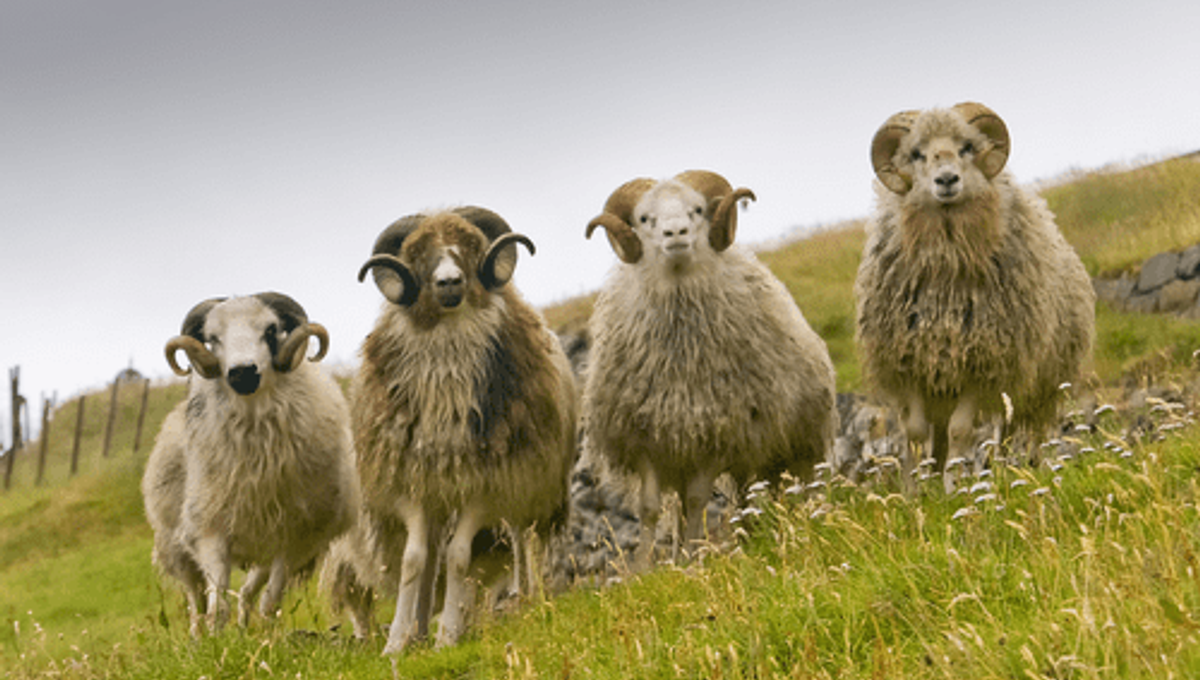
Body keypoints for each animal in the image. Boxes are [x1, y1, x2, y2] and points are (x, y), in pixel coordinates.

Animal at [141, 292, 359, 637]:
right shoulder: (210, 529)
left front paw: (269, 637)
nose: (242, 372)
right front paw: (216, 641)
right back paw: (197, 638)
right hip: (175, 545)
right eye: (212, 338)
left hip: (264, 550)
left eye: (270, 330)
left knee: (247, 593)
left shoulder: (295, 537)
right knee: (195, 601)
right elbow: (217, 604)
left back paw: (245, 631)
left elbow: (270, 601)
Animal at [352, 206, 577, 654]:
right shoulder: (415, 482)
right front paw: (399, 641)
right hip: (442, 491)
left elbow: (459, 556)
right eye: (418, 255)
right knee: (432, 554)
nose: (449, 282)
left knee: (521, 540)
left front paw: (448, 636)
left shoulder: (484, 484)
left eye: (471, 248)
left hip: (525, 484)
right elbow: (415, 558)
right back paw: (421, 626)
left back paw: (526, 599)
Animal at [583, 170, 838, 567]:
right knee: (748, 493)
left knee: (795, 486)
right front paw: (646, 568)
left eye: (698, 210)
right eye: (645, 218)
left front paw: (691, 560)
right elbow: (650, 507)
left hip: (797, 443)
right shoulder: (646, 438)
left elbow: (697, 500)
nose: (675, 233)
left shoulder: (715, 437)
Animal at [854, 102, 1095, 490]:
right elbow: (916, 432)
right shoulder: (910, 365)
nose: (947, 180)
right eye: (916, 154)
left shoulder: (982, 365)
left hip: (1040, 383)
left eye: (967, 146)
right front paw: (915, 490)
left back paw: (1024, 469)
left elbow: (961, 431)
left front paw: (954, 489)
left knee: (1025, 430)